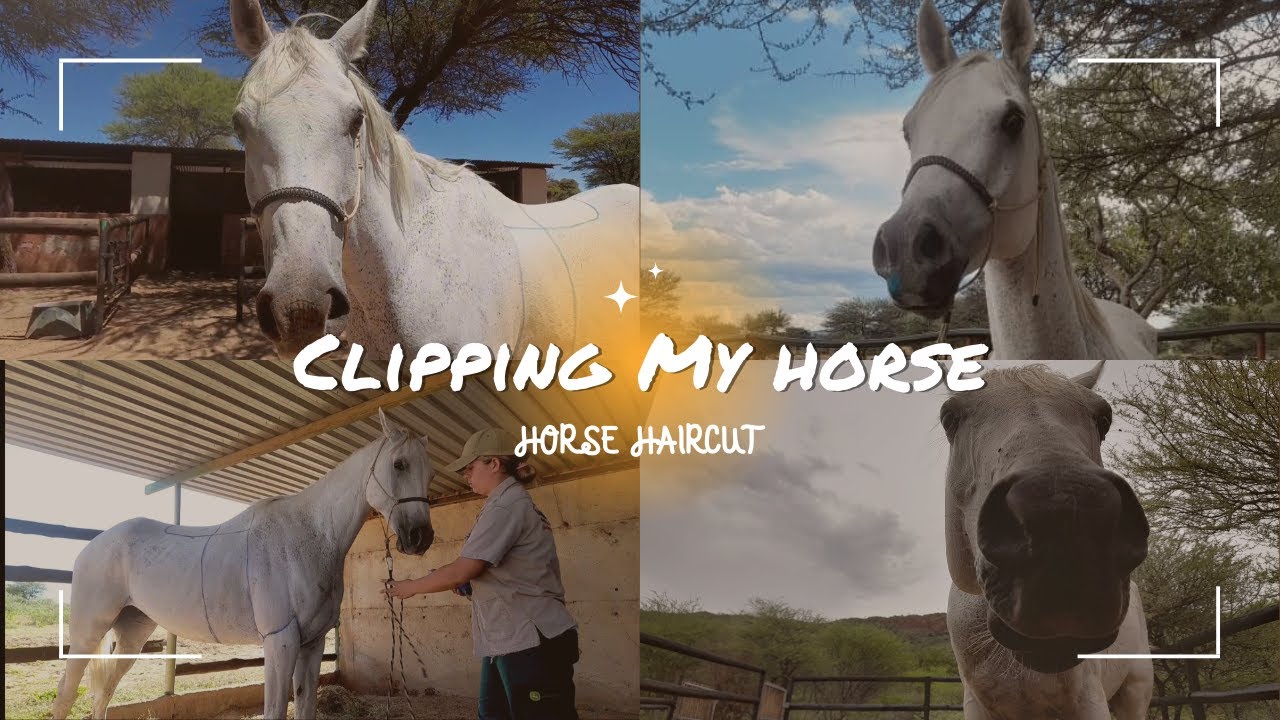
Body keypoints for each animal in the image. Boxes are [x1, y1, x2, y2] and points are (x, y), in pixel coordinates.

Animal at [49, 410, 435, 720]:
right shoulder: (280, 642)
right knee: (66, 695)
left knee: (103, 693)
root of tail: (92, 547)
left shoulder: (311, 644)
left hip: (132, 631)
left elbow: (305, 707)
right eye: (399, 464)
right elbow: (275, 710)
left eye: (429, 474)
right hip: (88, 630)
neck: (310, 535)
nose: (421, 538)